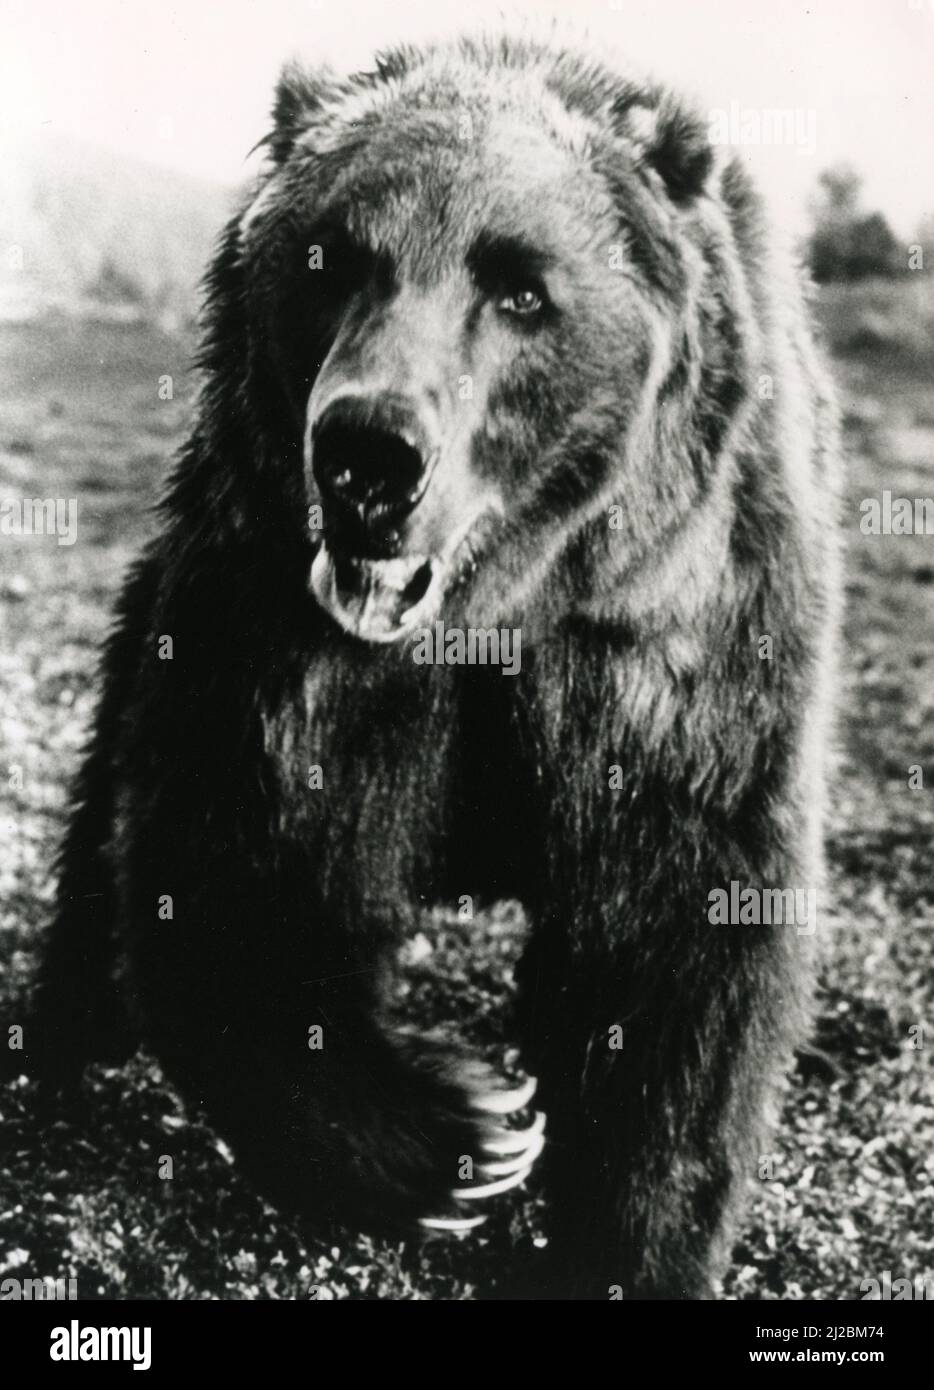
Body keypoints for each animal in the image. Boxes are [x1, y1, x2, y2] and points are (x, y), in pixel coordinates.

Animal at [30, 32, 840, 1299]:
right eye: (332, 256)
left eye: (520, 286)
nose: (367, 455)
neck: (496, 610)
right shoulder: (282, 623)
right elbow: (232, 864)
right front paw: (469, 1132)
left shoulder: (668, 638)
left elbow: (684, 927)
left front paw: (625, 1238)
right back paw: (68, 1036)